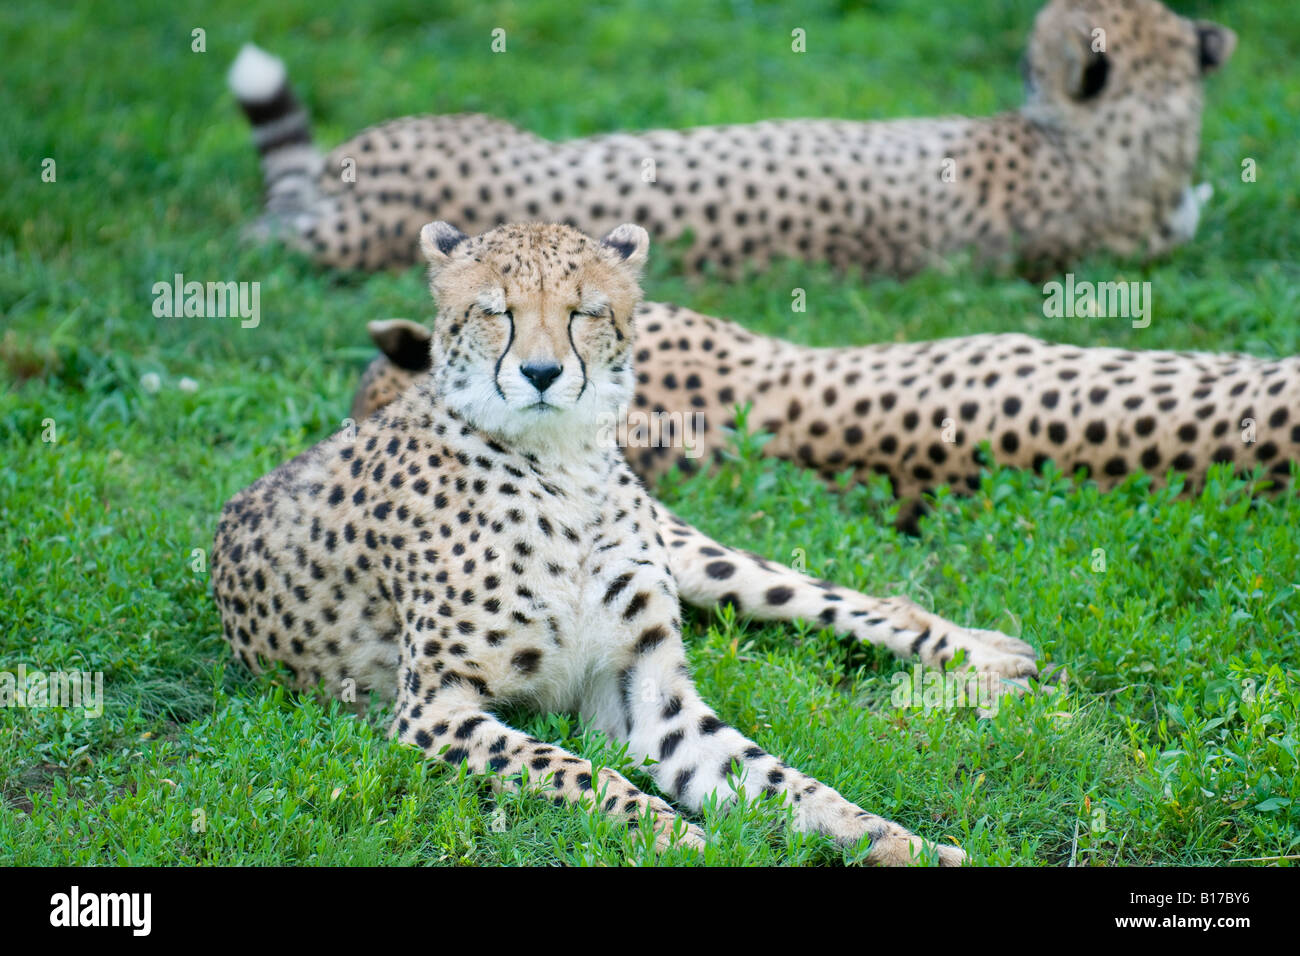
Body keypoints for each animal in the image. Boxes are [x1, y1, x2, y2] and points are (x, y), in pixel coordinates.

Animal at [213, 221, 1048, 865]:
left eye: (585, 312)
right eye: (494, 311)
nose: (541, 372)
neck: (564, 465)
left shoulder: (646, 689)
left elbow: (779, 778)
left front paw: (890, 839)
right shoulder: (433, 708)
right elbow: (574, 770)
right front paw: (676, 837)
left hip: (700, 561)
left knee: (850, 601)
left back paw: (988, 664)